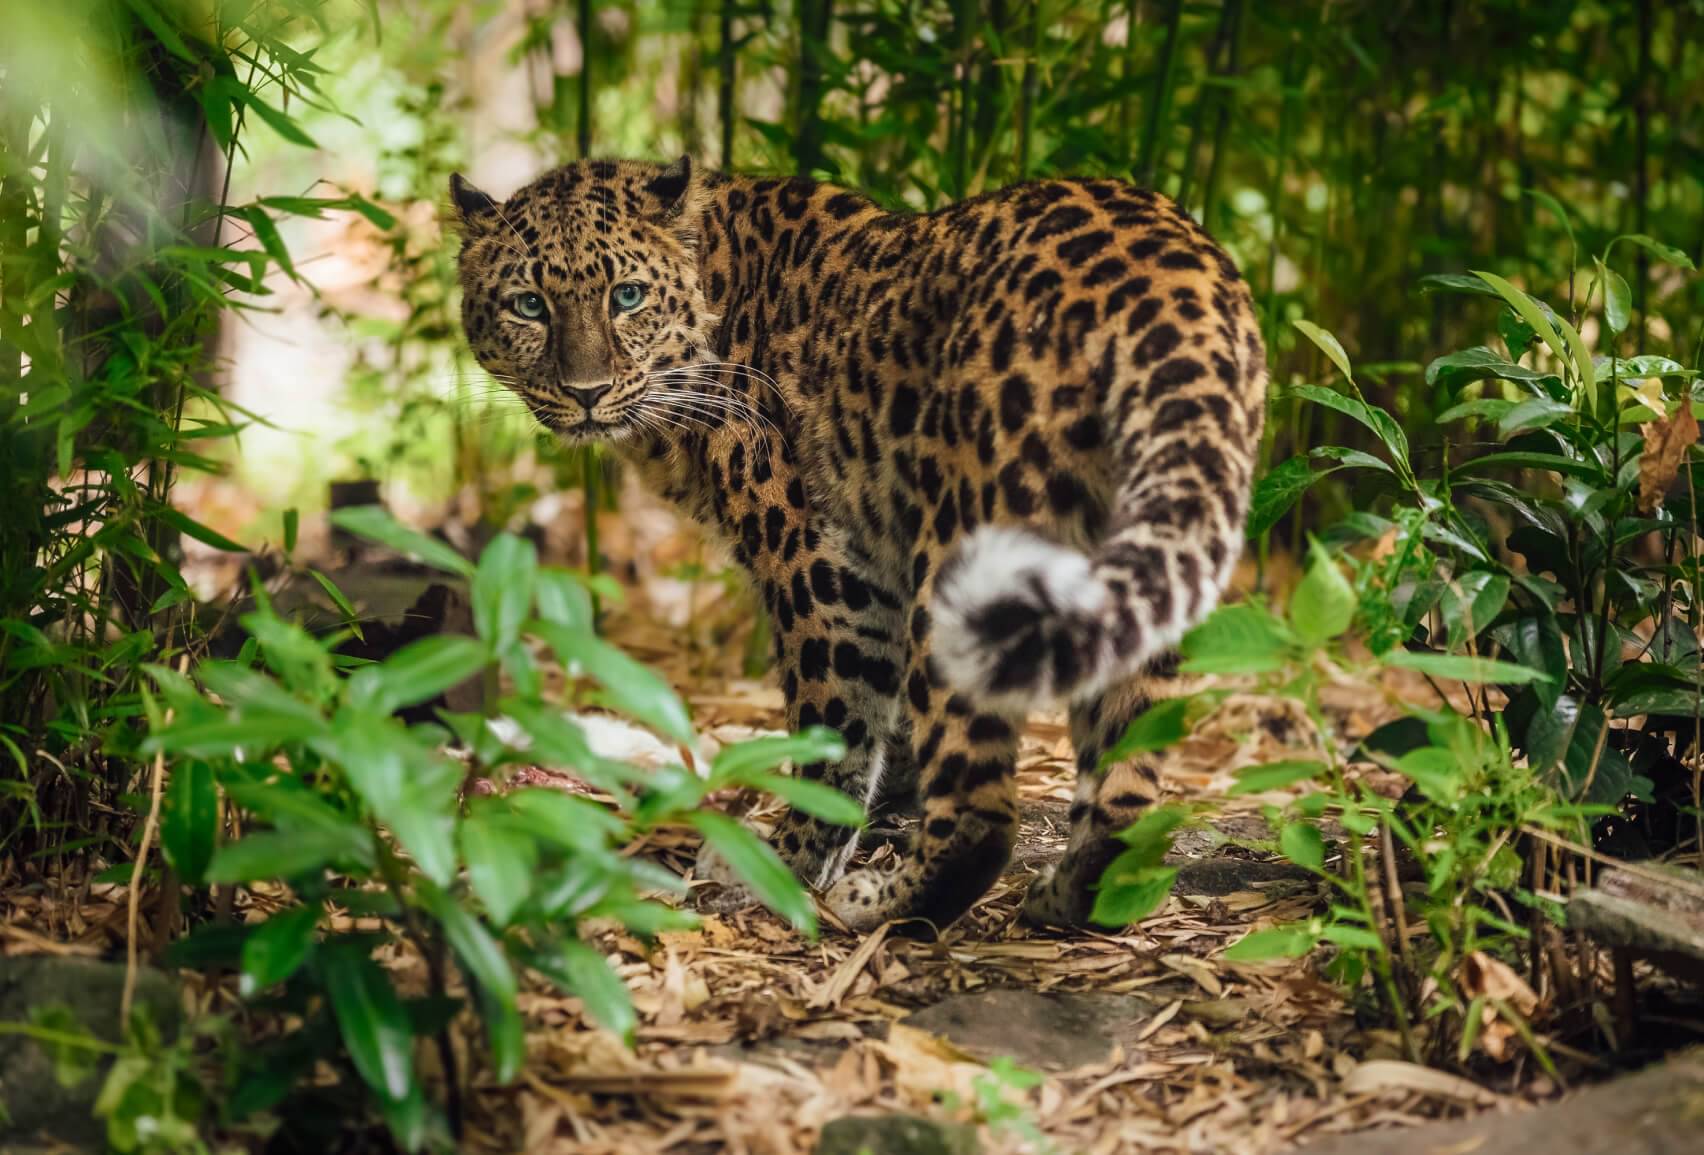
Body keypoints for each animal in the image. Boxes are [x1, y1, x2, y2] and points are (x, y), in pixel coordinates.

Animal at [450, 156, 1267, 934]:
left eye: (627, 296)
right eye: (529, 305)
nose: (586, 391)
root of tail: (1165, 283)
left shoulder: (819, 562)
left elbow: (835, 727)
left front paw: (779, 862)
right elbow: (890, 724)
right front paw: (881, 806)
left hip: (965, 556)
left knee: (980, 812)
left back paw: (876, 904)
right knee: (1125, 786)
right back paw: (1069, 898)